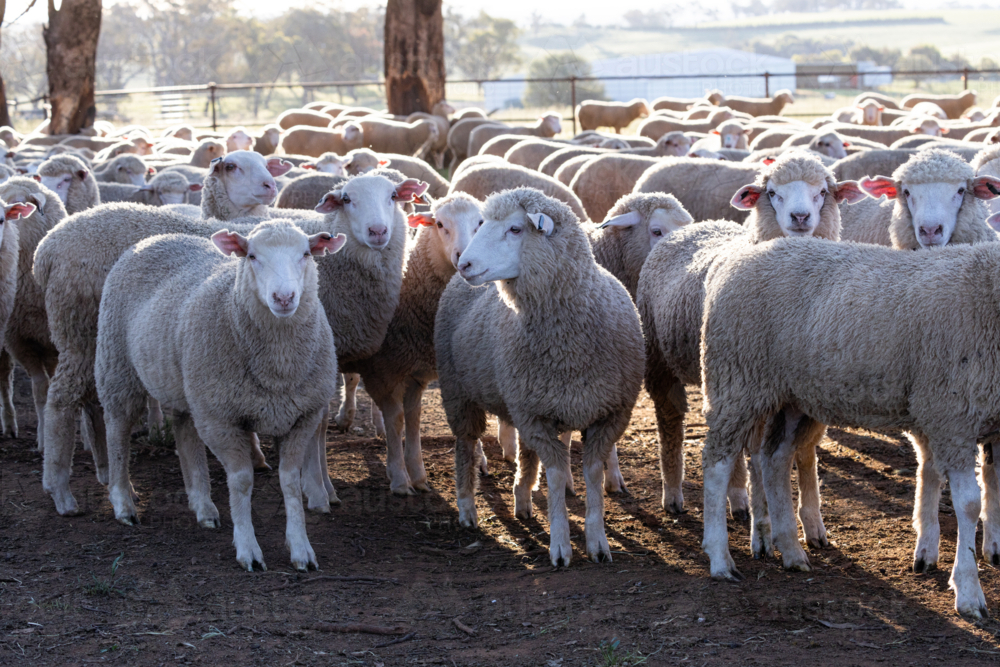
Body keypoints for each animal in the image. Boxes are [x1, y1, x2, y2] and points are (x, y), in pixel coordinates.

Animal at [96, 221, 345, 571]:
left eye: (306, 254)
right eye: (252, 256)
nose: (284, 297)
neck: (279, 367)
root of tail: (154, 239)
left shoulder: (302, 416)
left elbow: (290, 482)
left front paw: (300, 549)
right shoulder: (221, 418)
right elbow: (241, 482)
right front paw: (249, 550)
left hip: (186, 385)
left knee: (185, 432)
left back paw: (203, 506)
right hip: (117, 366)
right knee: (117, 430)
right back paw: (122, 503)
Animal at [348, 193, 483, 494]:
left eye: (481, 223)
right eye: (440, 224)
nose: (465, 258)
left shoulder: (415, 373)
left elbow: (414, 418)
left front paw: (419, 475)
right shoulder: (383, 369)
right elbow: (397, 419)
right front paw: (399, 478)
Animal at [435, 188, 644, 566]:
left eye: (516, 229)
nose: (465, 264)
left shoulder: (607, 413)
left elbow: (592, 473)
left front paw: (597, 541)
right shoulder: (536, 415)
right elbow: (557, 476)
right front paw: (560, 545)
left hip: (521, 401)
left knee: (525, 454)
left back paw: (522, 499)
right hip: (458, 392)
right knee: (465, 445)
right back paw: (467, 508)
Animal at [636, 154, 864, 537]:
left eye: (822, 192)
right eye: (772, 193)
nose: (799, 217)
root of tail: (697, 226)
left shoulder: (809, 390)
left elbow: (805, 450)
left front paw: (812, 521)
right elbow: (760, 453)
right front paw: (768, 520)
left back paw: (738, 498)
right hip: (663, 358)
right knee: (672, 421)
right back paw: (675, 493)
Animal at [698, 237, 1000, 619]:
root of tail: (732, 258)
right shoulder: (952, 416)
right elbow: (970, 504)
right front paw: (968, 591)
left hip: (793, 396)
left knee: (774, 459)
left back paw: (792, 552)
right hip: (737, 378)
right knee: (717, 464)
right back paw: (721, 559)